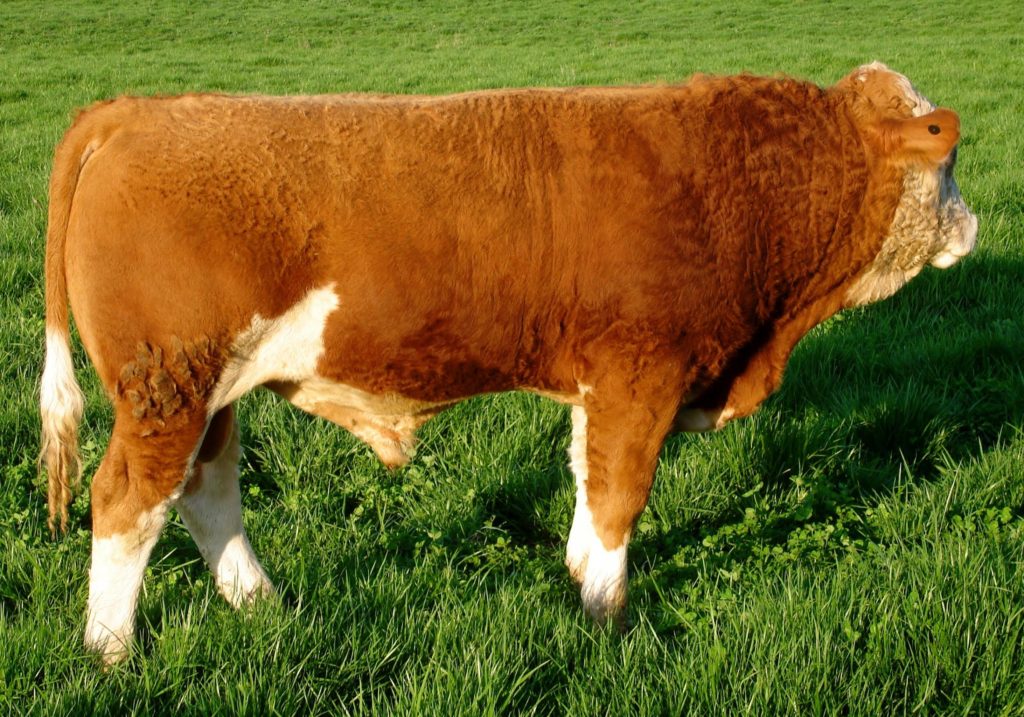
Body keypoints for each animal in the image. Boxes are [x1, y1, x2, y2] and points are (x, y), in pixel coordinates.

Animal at [39, 62, 976, 663]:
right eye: (946, 150)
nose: (972, 226)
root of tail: (139, 110)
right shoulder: (643, 373)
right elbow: (620, 495)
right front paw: (608, 619)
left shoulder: (603, 382)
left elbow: (588, 480)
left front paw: (578, 583)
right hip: (167, 384)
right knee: (127, 501)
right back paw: (110, 651)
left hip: (209, 389)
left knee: (206, 490)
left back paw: (266, 604)